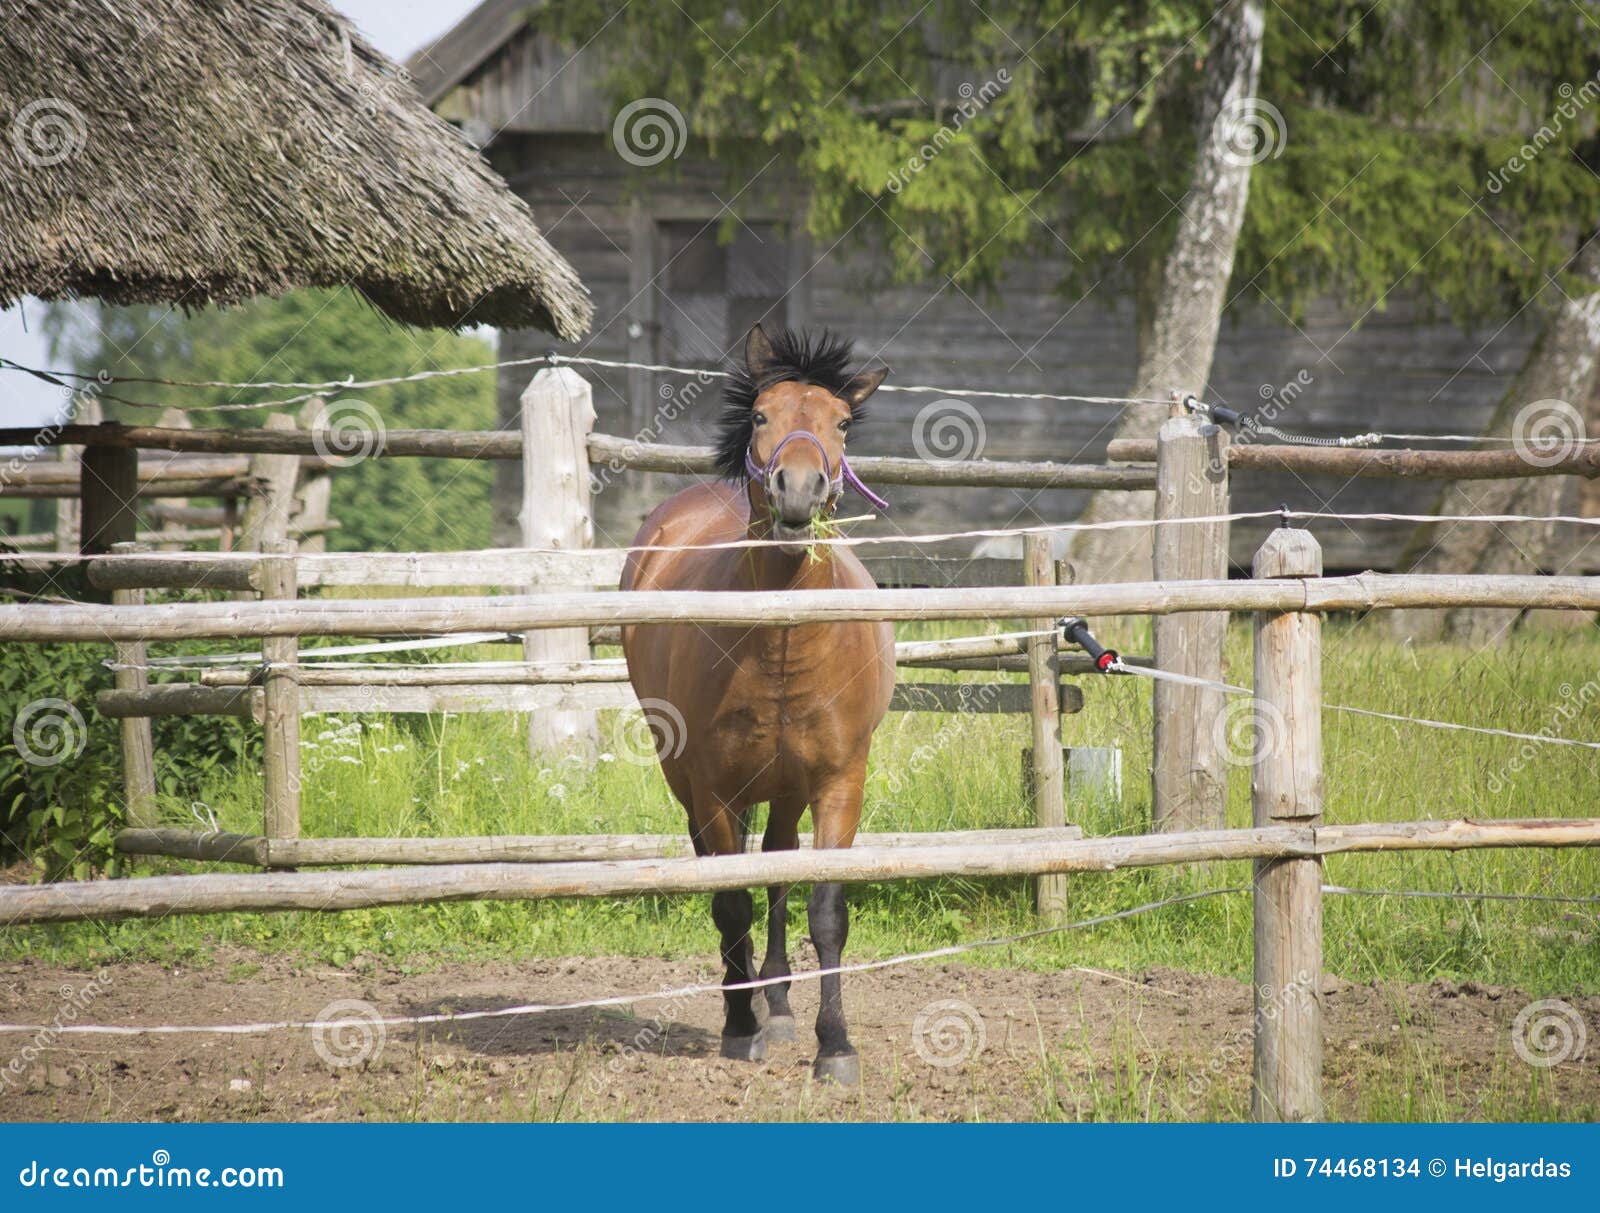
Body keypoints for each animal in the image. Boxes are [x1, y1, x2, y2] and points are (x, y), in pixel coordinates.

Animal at [620, 324, 895, 1085]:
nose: (796, 490)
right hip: (690, 780)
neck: (782, 641)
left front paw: (835, 1044)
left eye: (841, 422)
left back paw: (778, 1006)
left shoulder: (838, 782)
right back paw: (744, 1003)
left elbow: (823, 909)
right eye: (764, 414)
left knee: (777, 860)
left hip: (786, 786)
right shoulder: (713, 787)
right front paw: (738, 1025)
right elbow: (731, 899)